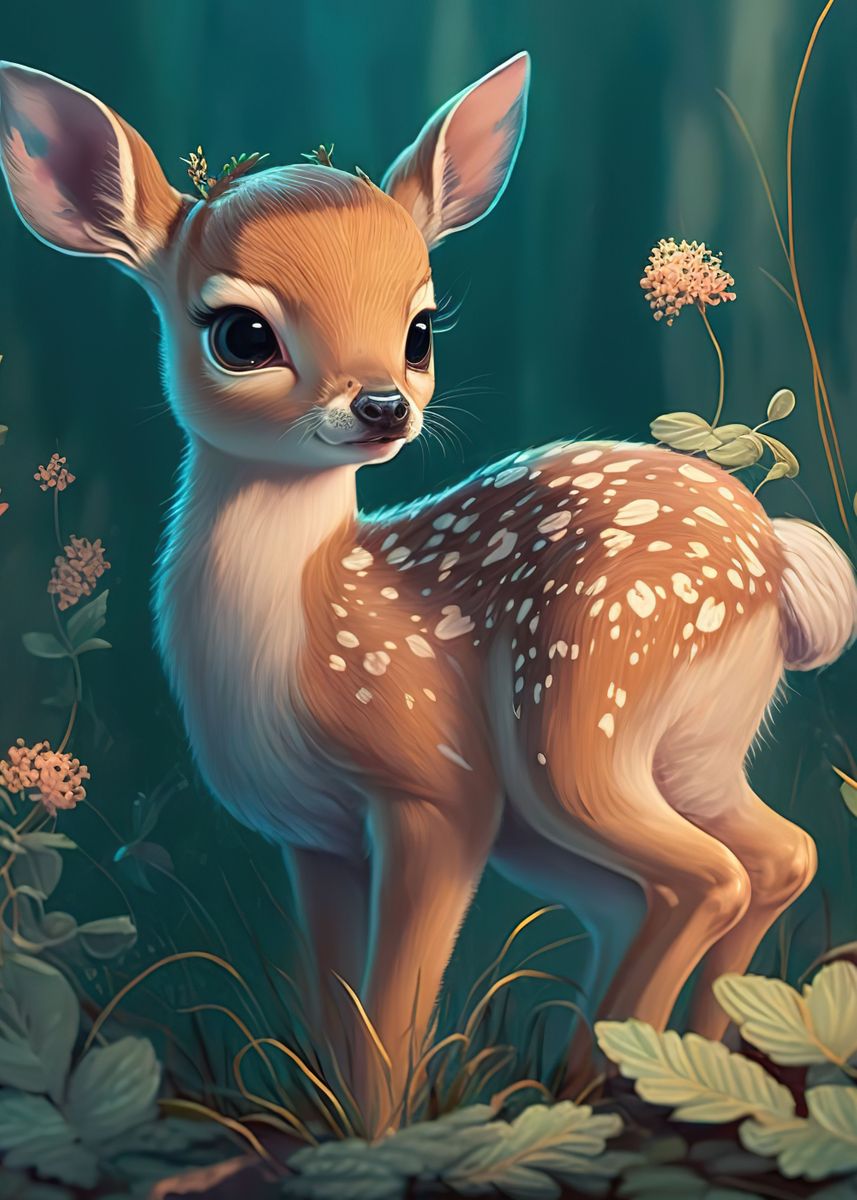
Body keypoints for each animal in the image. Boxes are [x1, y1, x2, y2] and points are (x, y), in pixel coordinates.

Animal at [2, 53, 855, 1134]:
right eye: (240, 334)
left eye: (419, 329)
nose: (380, 406)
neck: (301, 627)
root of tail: (776, 559)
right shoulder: (314, 837)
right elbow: (337, 1002)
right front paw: (335, 1119)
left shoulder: (434, 786)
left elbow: (395, 1007)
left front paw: (378, 1134)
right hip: (680, 753)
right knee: (765, 857)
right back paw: (693, 1061)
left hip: (579, 712)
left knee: (704, 875)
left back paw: (595, 1077)